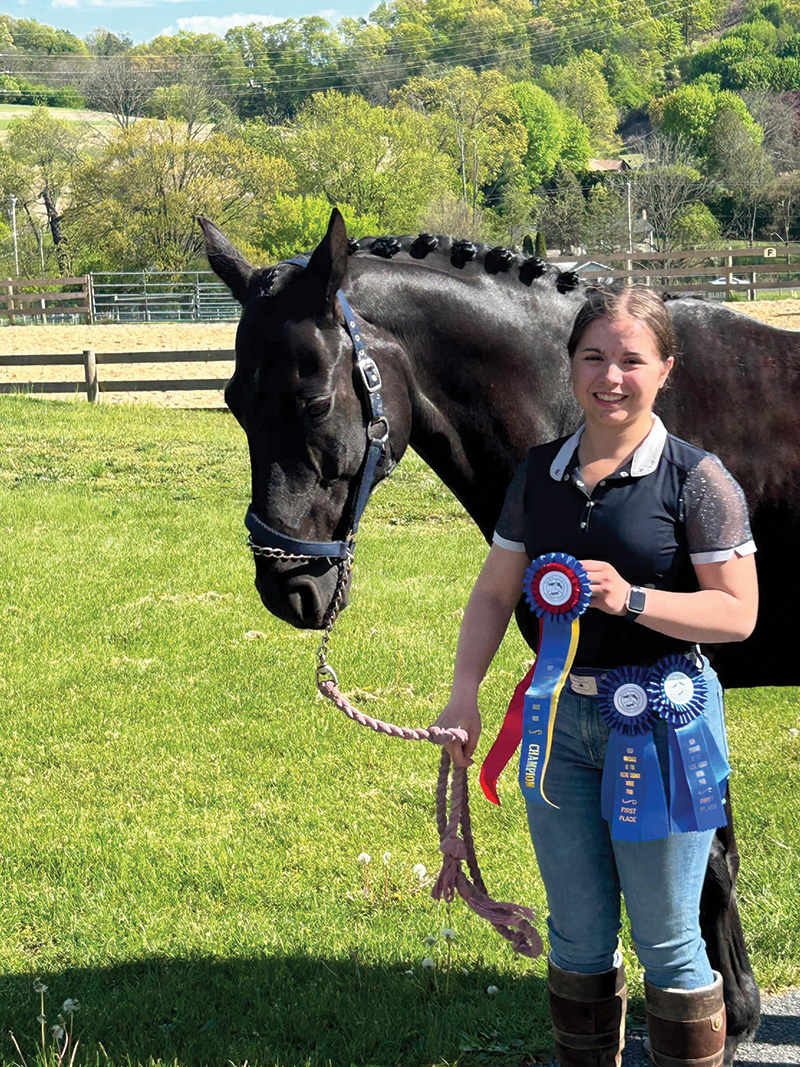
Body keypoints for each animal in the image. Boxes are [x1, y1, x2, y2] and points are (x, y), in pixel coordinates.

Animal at [199, 208, 798, 1062]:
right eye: (234, 402)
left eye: (312, 402)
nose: (289, 588)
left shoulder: (685, 683)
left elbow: (707, 852)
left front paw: (734, 1011)